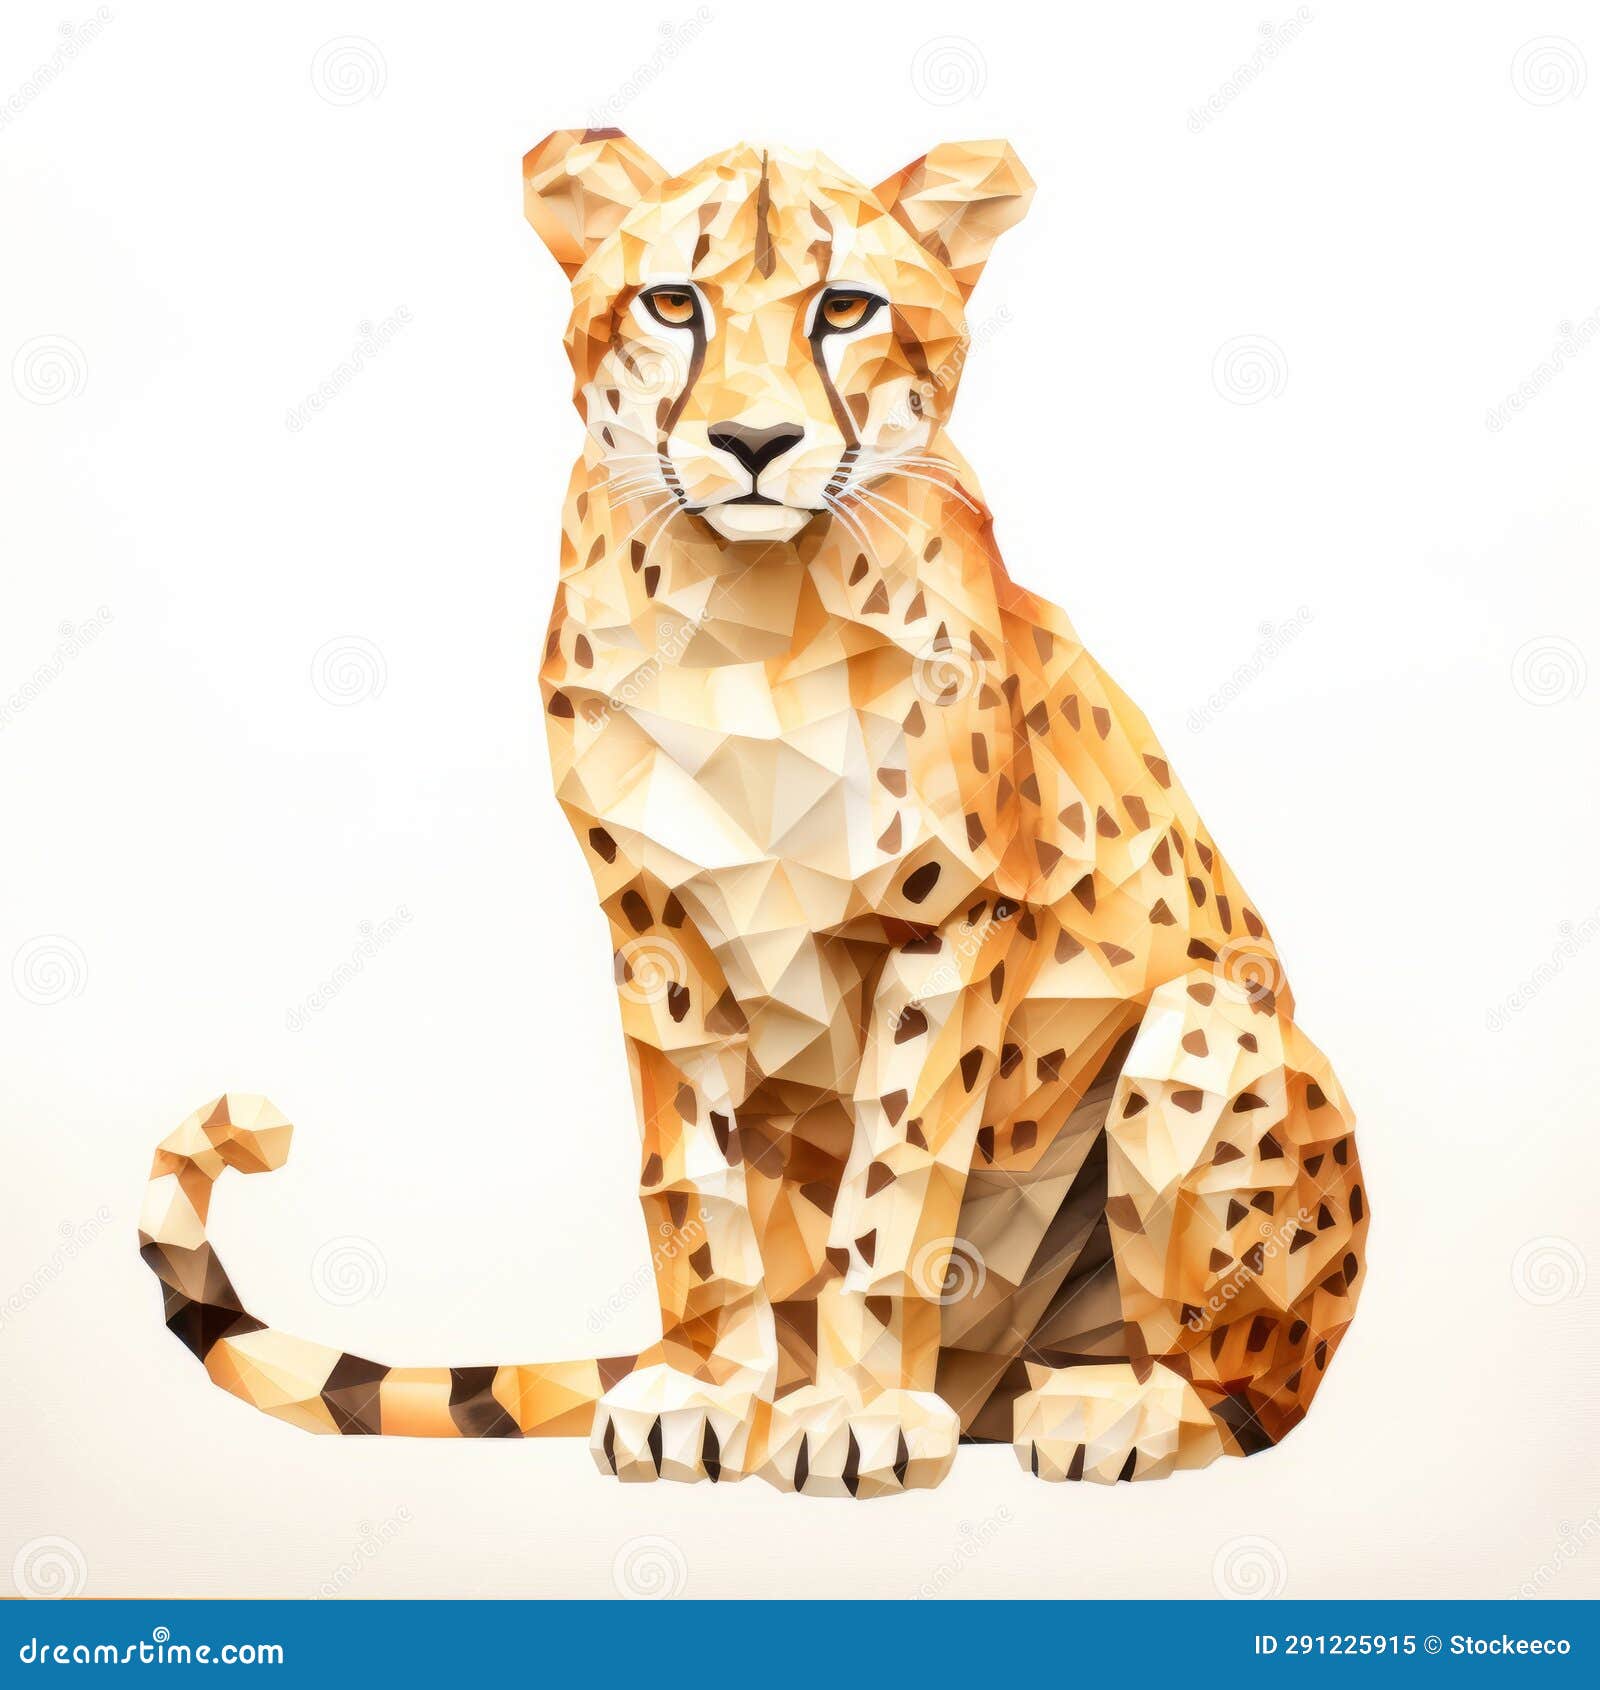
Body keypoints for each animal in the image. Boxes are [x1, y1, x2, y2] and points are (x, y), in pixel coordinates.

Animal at [140, 131, 1367, 1498]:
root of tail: (985, 1387)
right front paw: (700, 1392)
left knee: (1257, 1384)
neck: (745, 617)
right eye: (675, 302)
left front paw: (863, 1413)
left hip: (1211, 1024)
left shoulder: (952, 923)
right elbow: (692, 1183)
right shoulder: (656, 926)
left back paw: (1121, 1407)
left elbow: (894, 1183)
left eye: (847, 309)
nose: (757, 437)